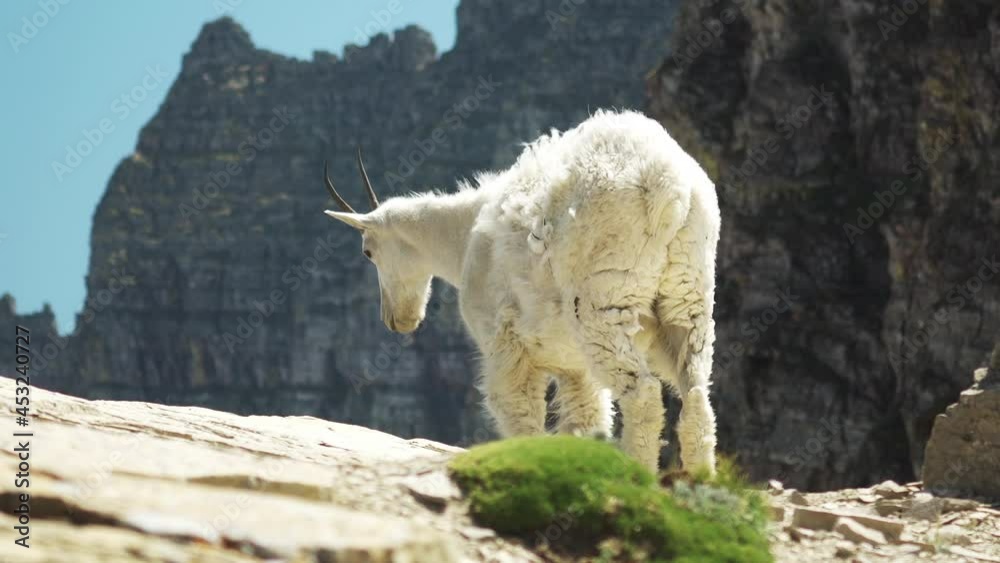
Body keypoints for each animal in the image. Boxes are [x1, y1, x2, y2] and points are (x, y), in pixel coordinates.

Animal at [324, 110, 719, 473]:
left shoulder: (503, 341)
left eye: (368, 251)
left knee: (643, 396)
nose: (396, 320)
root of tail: (670, 189)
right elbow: (585, 418)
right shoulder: (573, 366)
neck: (464, 234)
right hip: (687, 299)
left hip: (604, 302)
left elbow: (517, 408)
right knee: (696, 396)